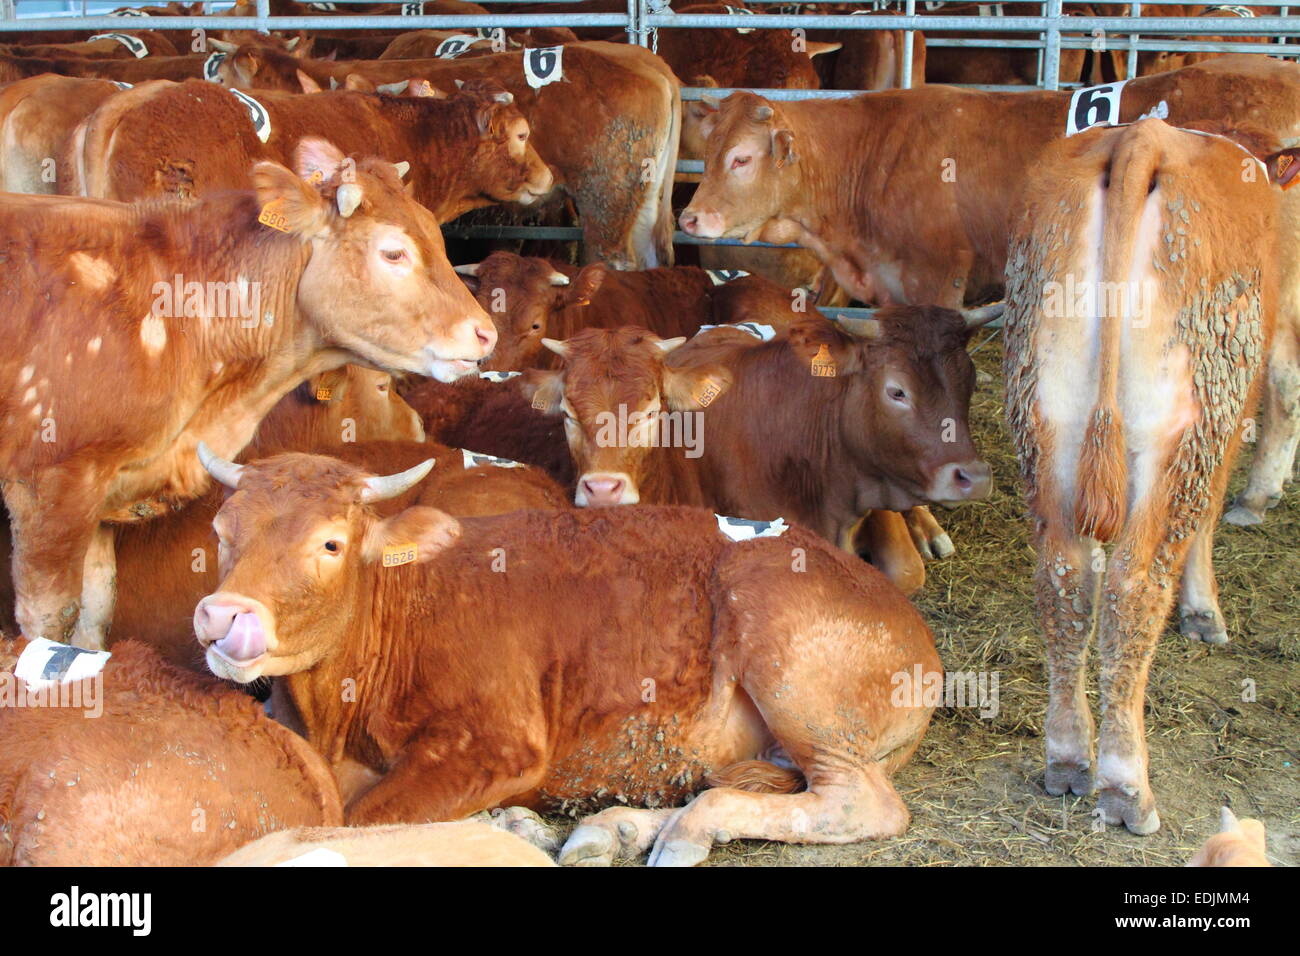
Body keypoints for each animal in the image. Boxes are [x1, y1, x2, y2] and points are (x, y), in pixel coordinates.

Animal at [0, 137, 495, 648]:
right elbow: (51, 620)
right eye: (394, 253)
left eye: (438, 238)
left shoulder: (105, 491)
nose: (485, 334)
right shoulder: (53, 483)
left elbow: (95, 613)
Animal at [191, 446, 942, 866]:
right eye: (222, 532)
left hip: (796, 672)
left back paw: (684, 834)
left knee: (859, 804)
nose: (223, 614)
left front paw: (510, 824)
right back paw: (613, 830)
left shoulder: (501, 743)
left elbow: (361, 820)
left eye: (330, 543)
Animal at [1002, 118, 1292, 833]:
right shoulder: (1228, 420)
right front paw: (1204, 611)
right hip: (1182, 426)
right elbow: (1209, 520)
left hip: (1047, 419)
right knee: (1132, 586)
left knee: (1066, 579)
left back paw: (1068, 761)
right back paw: (1126, 786)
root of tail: (1144, 136)